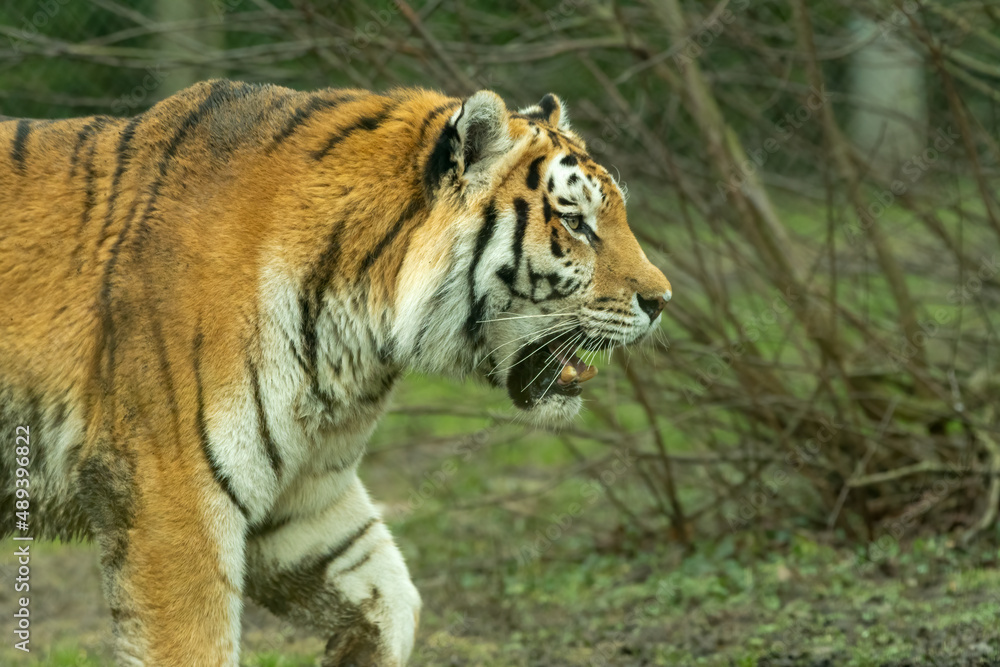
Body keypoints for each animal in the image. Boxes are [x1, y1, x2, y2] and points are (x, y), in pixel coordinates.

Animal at [0, 79, 671, 666]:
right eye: (575, 223)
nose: (663, 300)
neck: (356, 338)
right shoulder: (171, 499)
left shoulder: (305, 503)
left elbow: (392, 601)